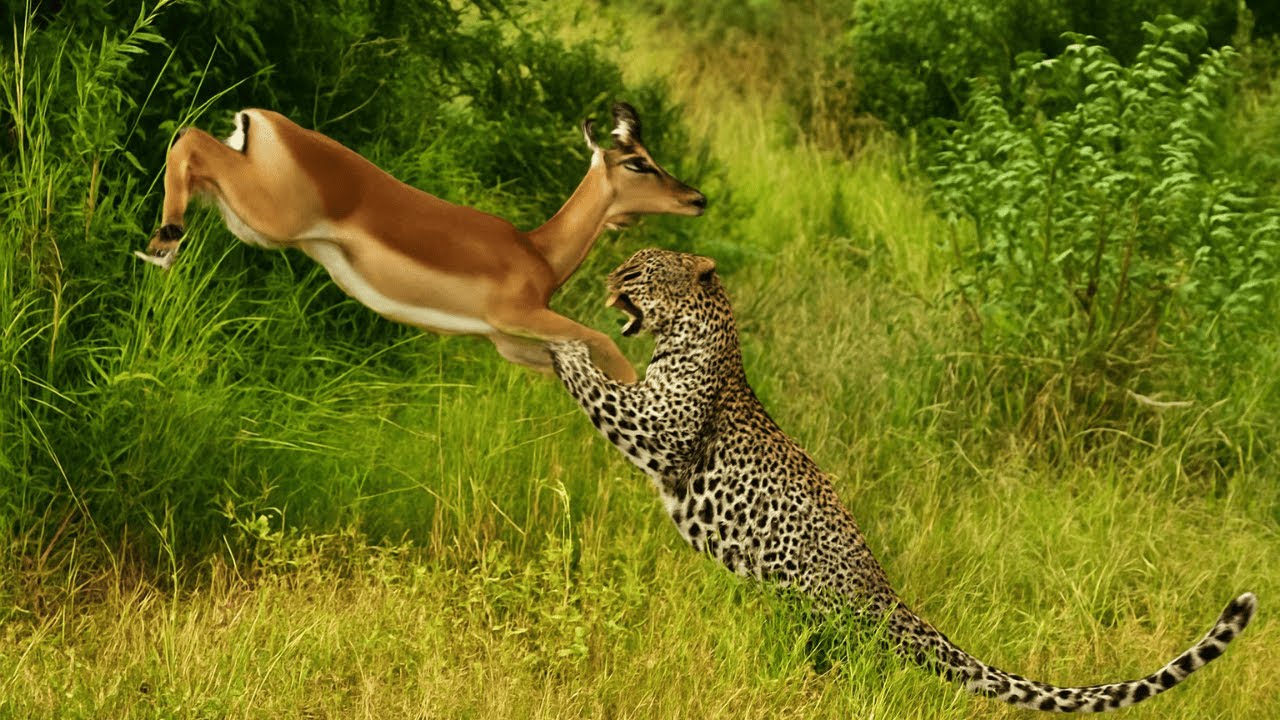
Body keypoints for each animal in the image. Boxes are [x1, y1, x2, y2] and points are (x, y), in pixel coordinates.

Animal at [548, 247, 1257, 713]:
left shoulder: (660, 430)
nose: (604, 281)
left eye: (635, 271)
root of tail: (884, 593)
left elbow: (600, 389)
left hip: (815, 617)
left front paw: (561, 346)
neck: (699, 327)